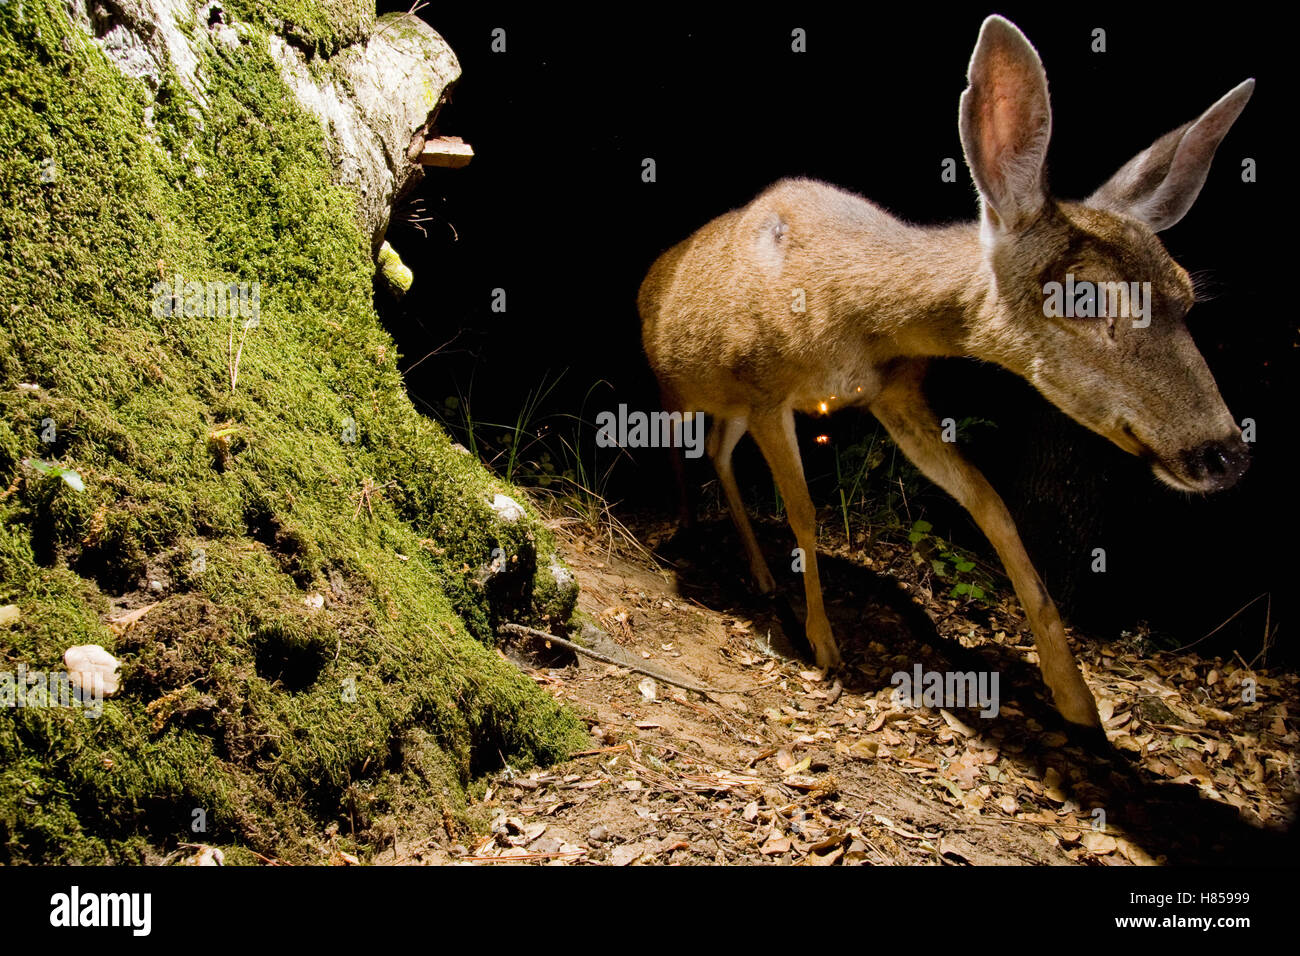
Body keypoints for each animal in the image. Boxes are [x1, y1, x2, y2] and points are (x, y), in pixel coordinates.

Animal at [637, 15, 1253, 728]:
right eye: (1082, 294)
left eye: (1188, 294)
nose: (1227, 454)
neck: (851, 310)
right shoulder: (768, 389)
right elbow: (805, 512)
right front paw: (825, 646)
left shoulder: (897, 396)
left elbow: (991, 504)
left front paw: (1075, 698)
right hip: (680, 386)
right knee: (681, 447)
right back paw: (689, 533)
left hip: (731, 405)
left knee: (717, 449)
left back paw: (760, 575)